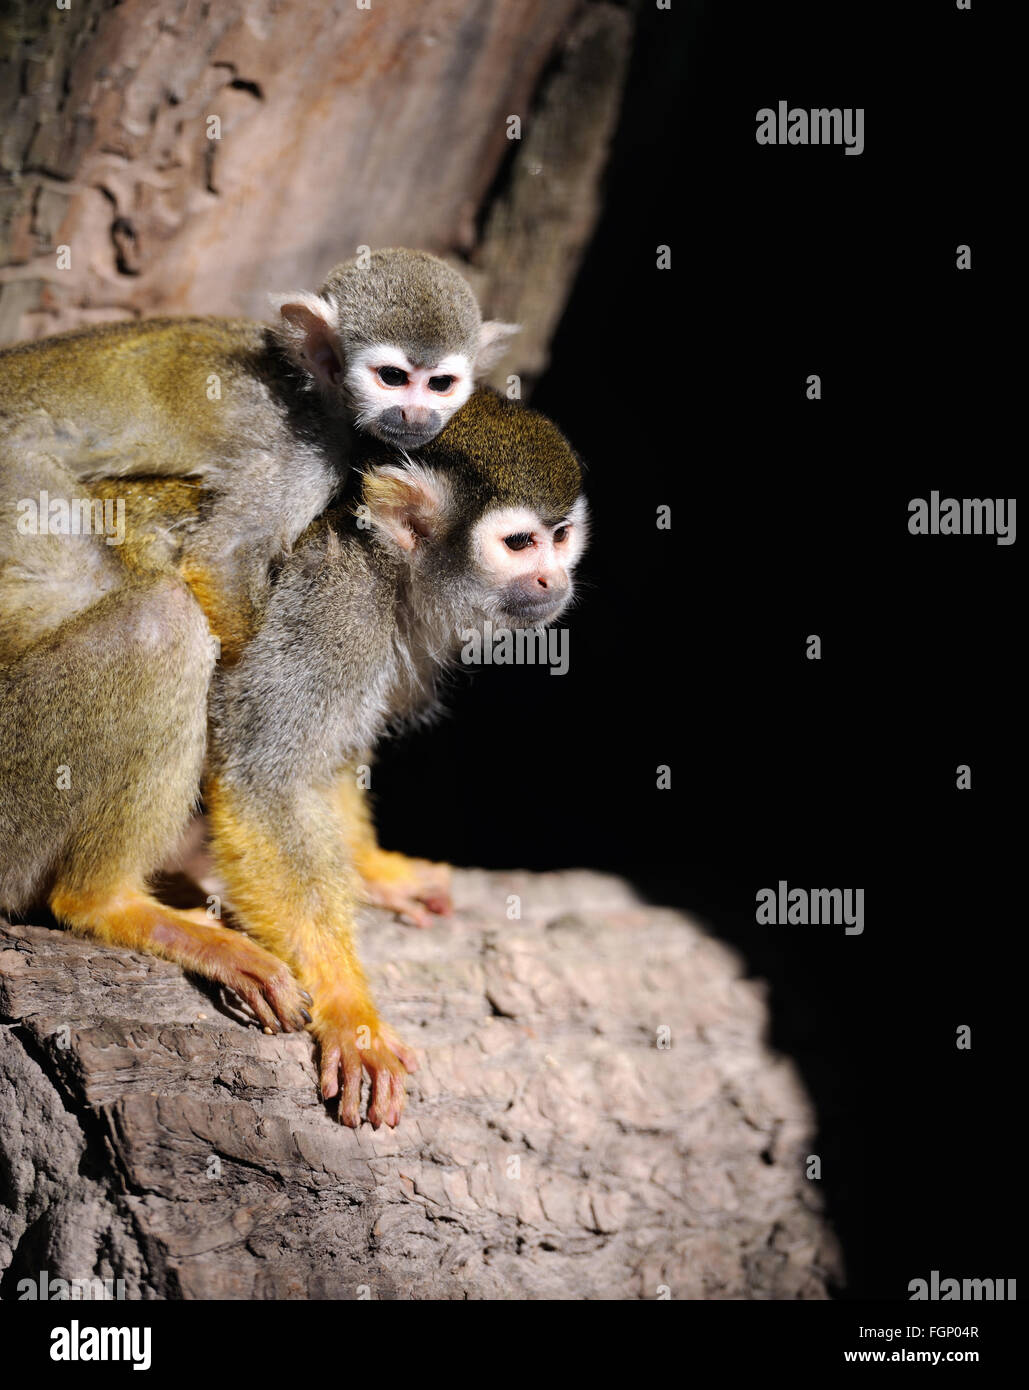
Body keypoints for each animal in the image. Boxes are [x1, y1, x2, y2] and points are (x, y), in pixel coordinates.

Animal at [0, 247, 519, 659]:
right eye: (393, 377)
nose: (415, 415)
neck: (319, 393)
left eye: (440, 384)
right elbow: (224, 558)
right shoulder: (311, 449)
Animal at [0, 389, 588, 1127]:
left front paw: (374, 871)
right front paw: (351, 1011)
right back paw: (108, 903)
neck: (393, 572)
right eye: (518, 544)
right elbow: (267, 780)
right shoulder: (334, 601)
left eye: (560, 536)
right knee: (159, 627)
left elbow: (328, 764)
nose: (552, 578)